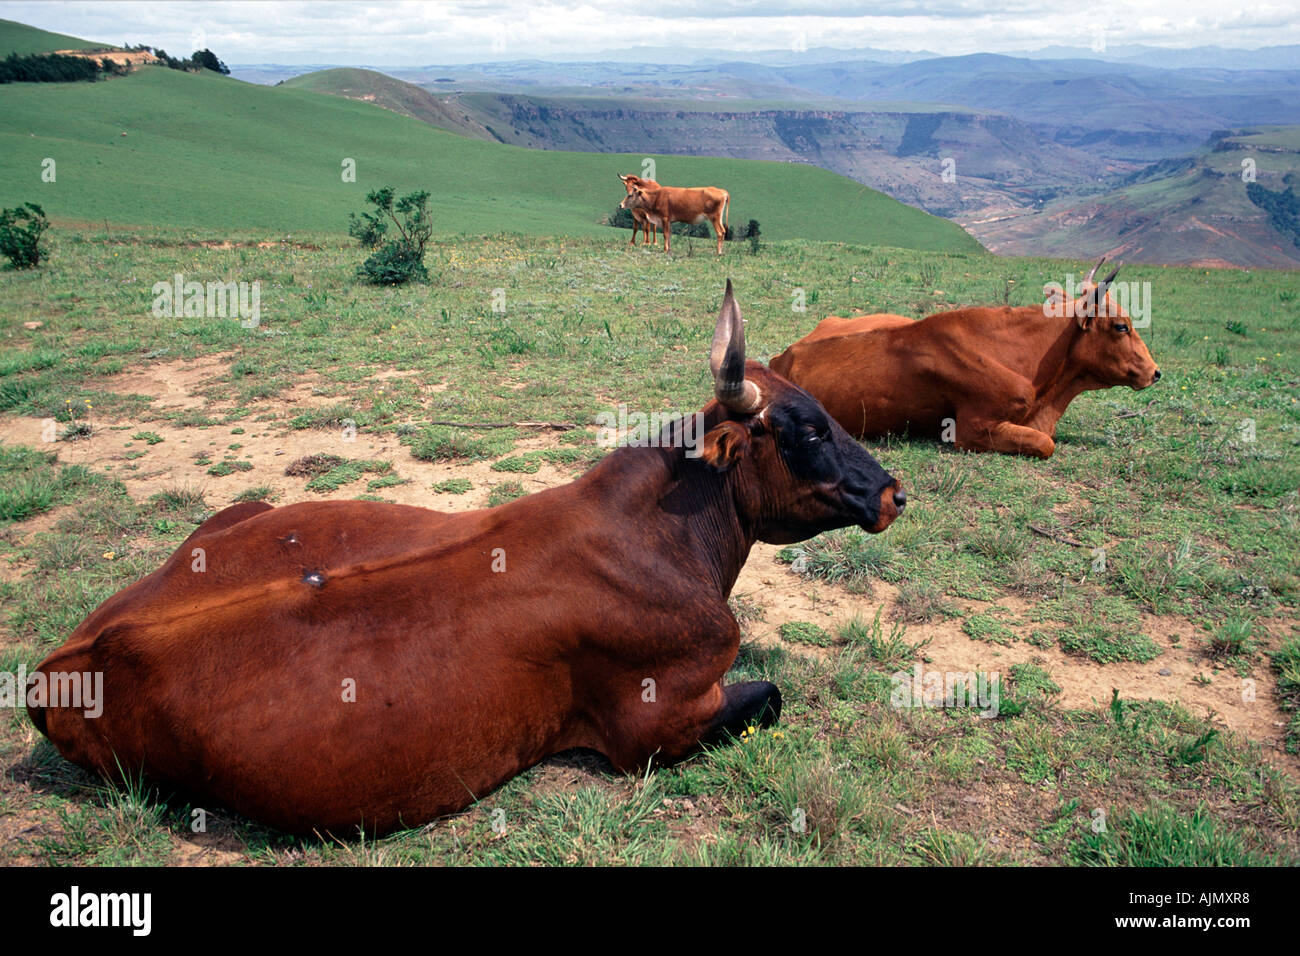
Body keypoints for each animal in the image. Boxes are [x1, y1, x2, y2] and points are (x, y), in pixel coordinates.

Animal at [28, 280, 906, 837]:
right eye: (806, 430)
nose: (895, 492)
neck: (659, 535)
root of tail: (61, 660)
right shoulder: (659, 723)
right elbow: (773, 695)